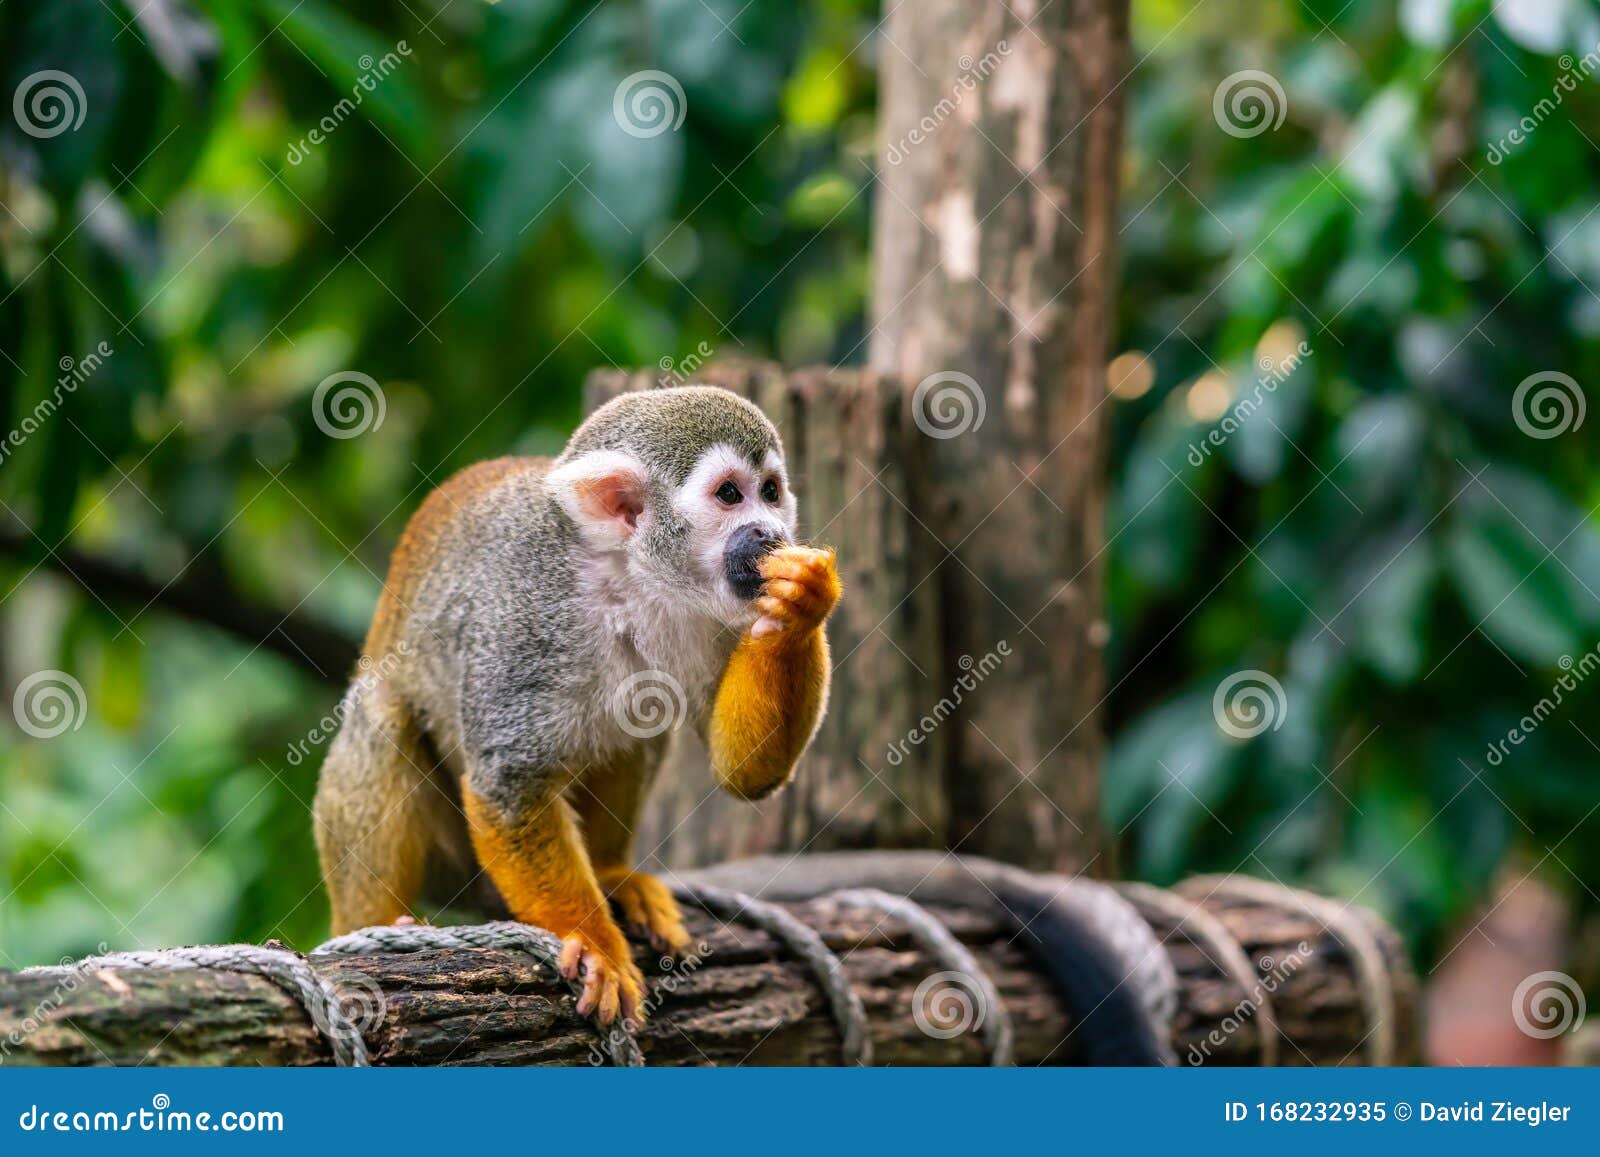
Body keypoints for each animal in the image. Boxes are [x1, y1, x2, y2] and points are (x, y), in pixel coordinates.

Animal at [311, 385, 840, 1025]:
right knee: (384, 719)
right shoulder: (527, 612)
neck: (629, 582)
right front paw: (595, 947)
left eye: (770, 490)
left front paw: (803, 600)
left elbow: (742, 772)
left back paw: (612, 874)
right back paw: (373, 927)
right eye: (730, 495)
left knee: (641, 723)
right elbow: (509, 787)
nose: (768, 532)